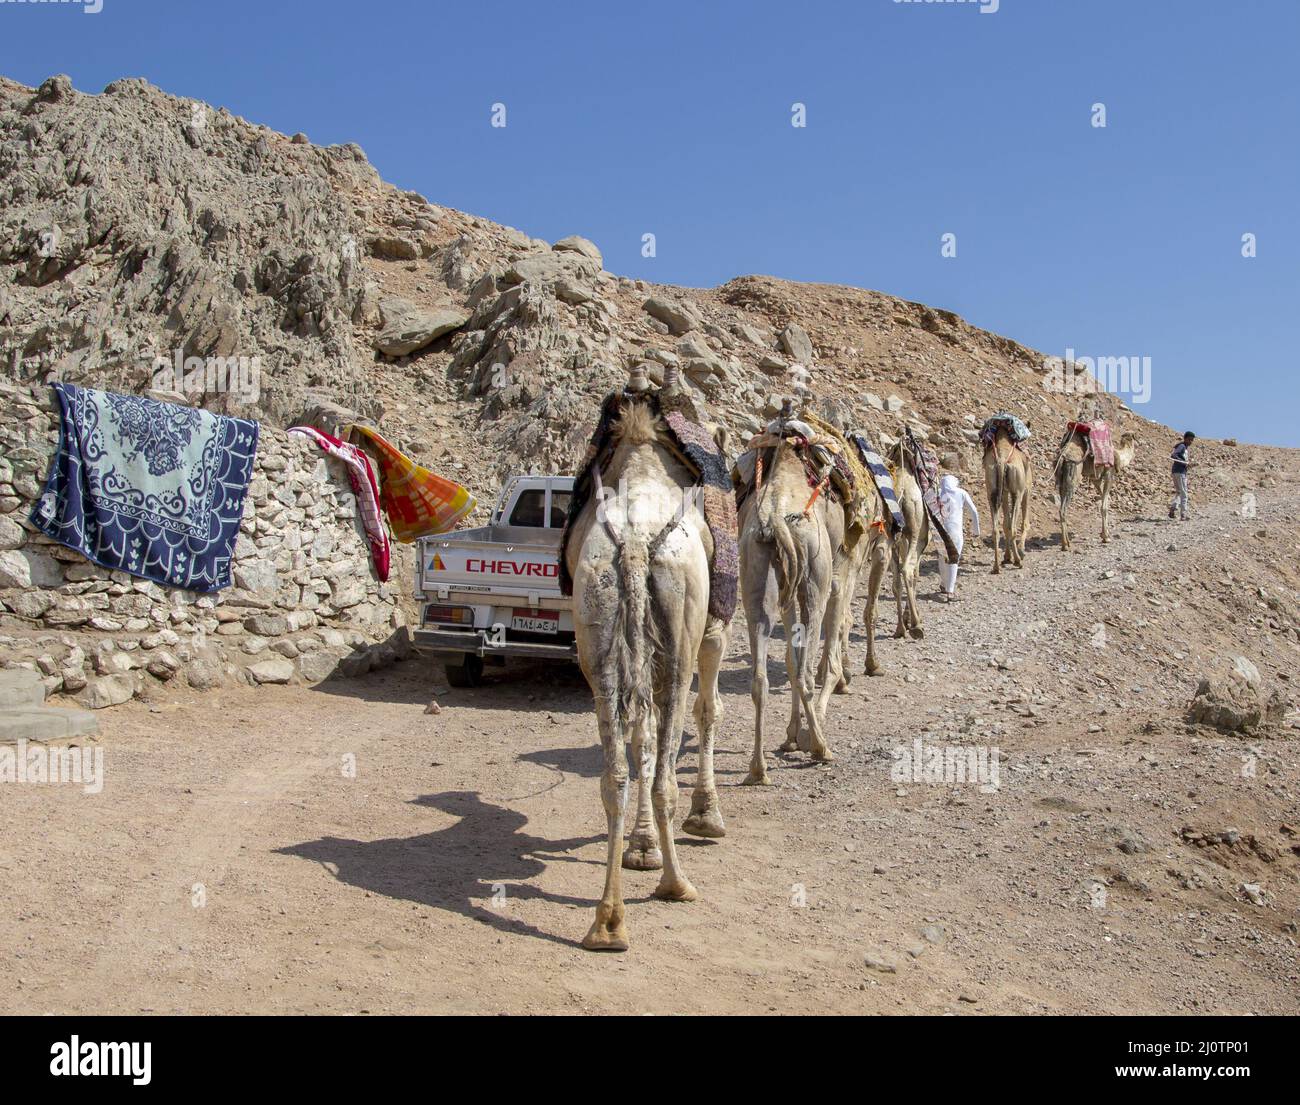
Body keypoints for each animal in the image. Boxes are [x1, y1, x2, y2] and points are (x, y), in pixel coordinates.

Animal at [565, 381, 728, 952]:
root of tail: (635, 544)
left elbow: (643, 741)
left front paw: (641, 848)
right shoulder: (712, 629)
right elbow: (708, 712)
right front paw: (708, 818)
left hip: (598, 641)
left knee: (615, 771)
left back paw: (607, 922)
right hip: (679, 644)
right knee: (664, 776)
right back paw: (676, 885)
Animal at [982, 428, 1032, 572]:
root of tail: (1002, 460)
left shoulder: (1003, 493)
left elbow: (1005, 524)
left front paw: (1007, 557)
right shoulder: (1026, 489)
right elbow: (1024, 522)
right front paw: (1020, 551)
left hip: (991, 492)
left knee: (996, 529)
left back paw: (996, 566)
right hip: (1017, 492)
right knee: (1014, 527)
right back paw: (1018, 561)